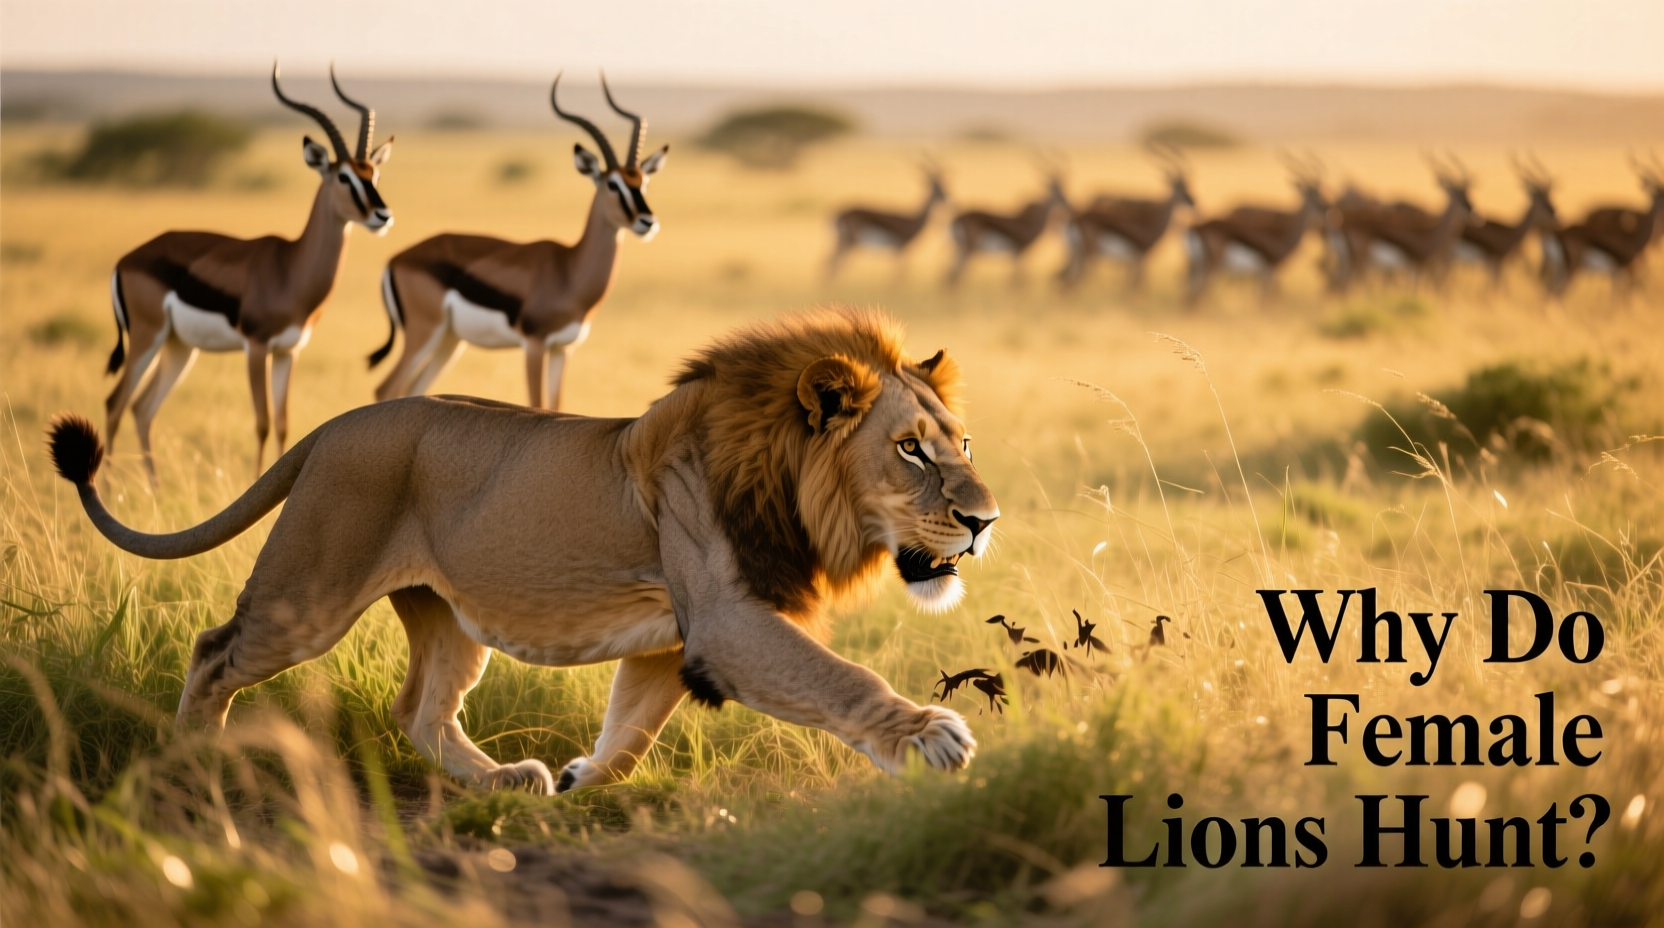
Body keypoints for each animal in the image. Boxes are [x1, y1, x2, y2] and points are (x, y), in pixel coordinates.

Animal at [48, 307, 999, 794]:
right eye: (910, 451)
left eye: (962, 442)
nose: (985, 521)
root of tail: (333, 424)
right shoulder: (726, 620)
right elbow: (839, 678)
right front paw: (930, 735)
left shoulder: (674, 637)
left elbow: (633, 732)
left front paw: (583, 773)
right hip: (308, 595)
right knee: (215, 652)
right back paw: (192, 765)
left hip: (442, 612)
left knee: (418, 712)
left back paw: (511, 781)